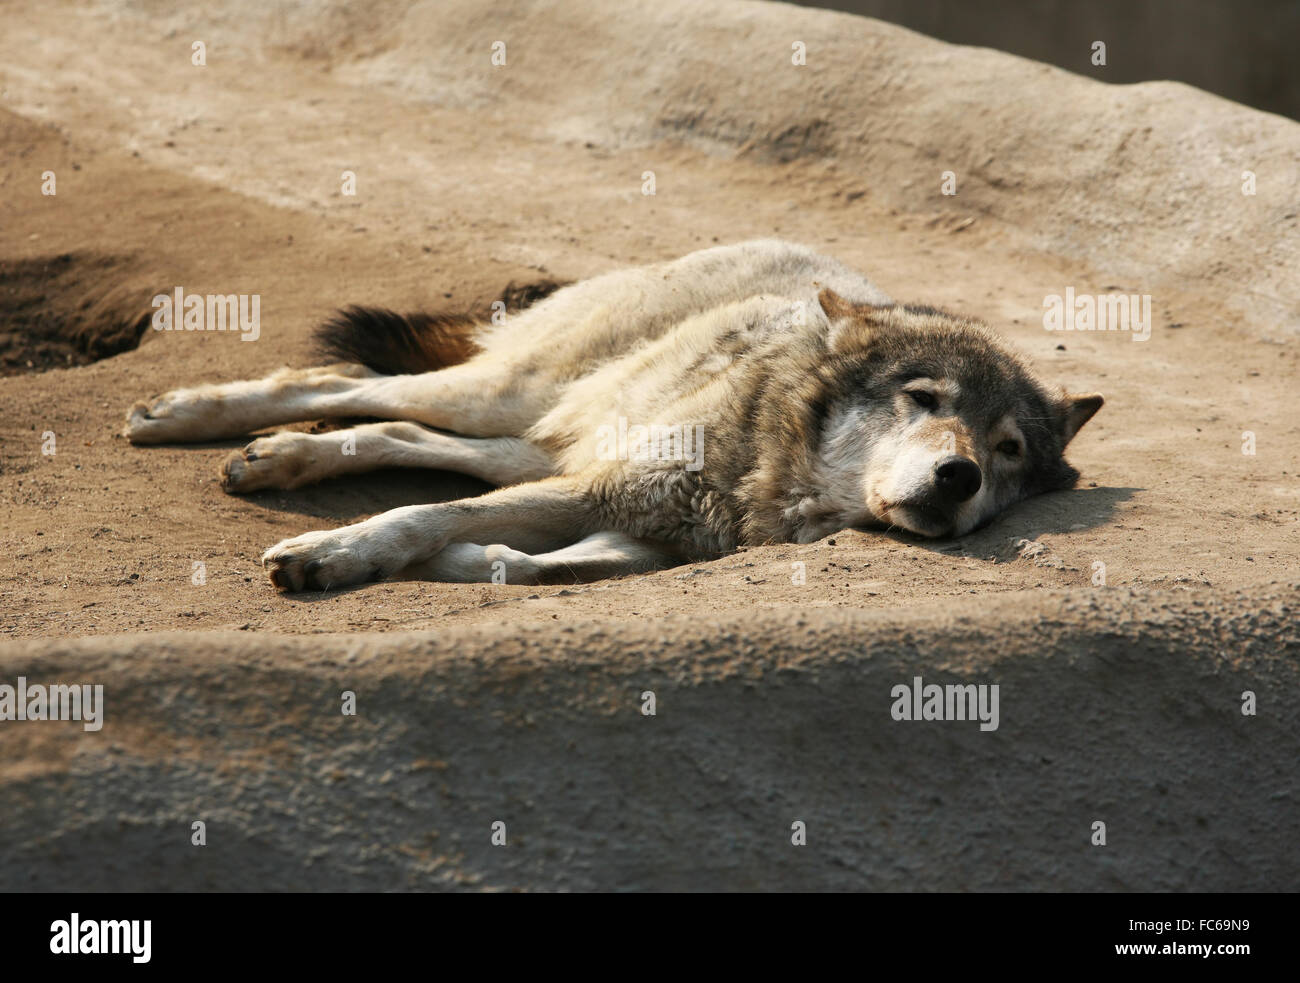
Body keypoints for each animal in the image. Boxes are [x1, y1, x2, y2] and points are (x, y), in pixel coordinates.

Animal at [124, 240, 1102, 591]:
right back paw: (187, 416)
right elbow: (420, 512)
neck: (768, 482)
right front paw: (332, 555)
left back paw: (273, 457)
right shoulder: (611, 489)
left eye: (1008, 449)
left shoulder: (632, 518)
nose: (959, 475)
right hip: (506, 393)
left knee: (396, 431)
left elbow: (532, 562)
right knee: (347, 382)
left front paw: (463, 563)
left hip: (538, 446)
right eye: (925, 400)